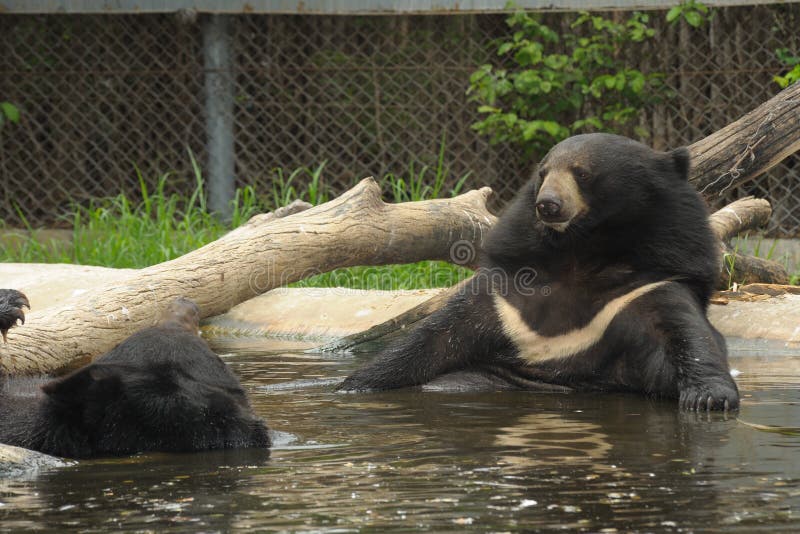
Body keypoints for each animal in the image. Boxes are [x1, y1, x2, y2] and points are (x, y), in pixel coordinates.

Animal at [339, 133, 740, 412]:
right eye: (543, 173)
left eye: (582, 173)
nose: (548, 204)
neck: (582, 247)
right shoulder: (508, 289)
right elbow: (438, 334)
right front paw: (354, 382)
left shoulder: (650, 281)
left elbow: (684, 334)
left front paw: (709, 398)